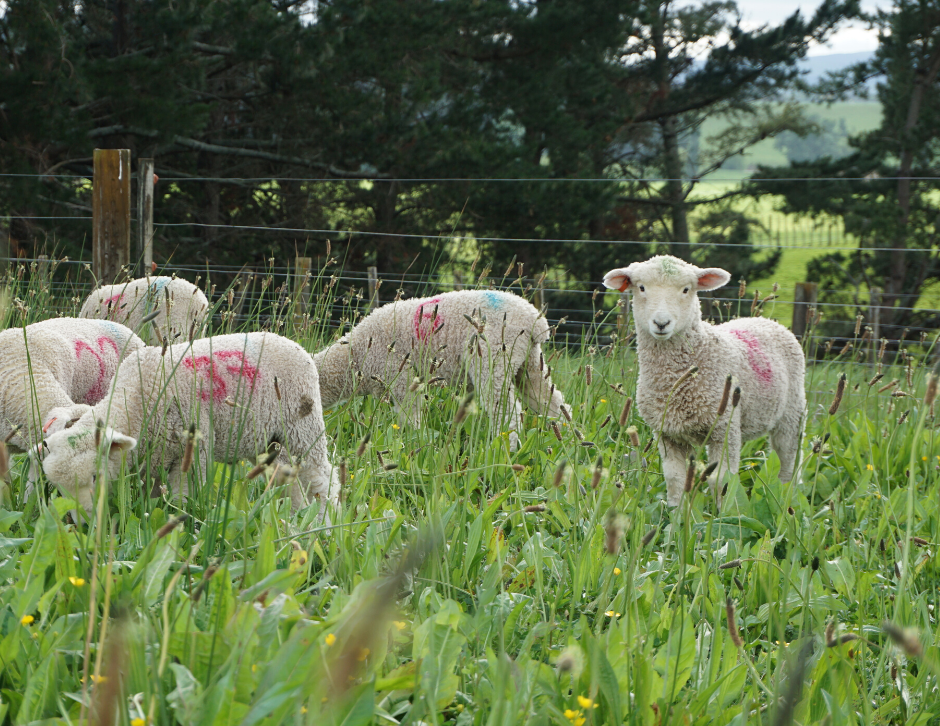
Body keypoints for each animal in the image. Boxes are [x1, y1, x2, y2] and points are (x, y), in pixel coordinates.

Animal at [36, 332, 339, 519]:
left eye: (95, 477)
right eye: (59, 488)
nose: (83, 523)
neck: (135, 400)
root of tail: (293, 344)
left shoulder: (192, 453)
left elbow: (181, 498)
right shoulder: (154, 459)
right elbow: (154, 498)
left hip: (301, 428)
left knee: (321, 479)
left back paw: (324, 521)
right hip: (267, 439)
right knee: (287, 478)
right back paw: (296, 517)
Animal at [313, 290, 567, 450]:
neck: (354, 357)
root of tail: (535, 321)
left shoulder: (399, 376)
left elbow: (410, 414)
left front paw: (415, 441)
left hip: (494, 359)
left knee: (507, 413)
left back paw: (507, 448)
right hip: (529, 363)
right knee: (552, 402)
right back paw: (566, 437)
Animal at [603, 255, 806, 507]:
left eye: (686, 289)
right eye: (641, 288)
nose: (661, 323)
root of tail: (766, 320)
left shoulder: (724, 427)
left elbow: (721, 480)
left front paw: (724, 513)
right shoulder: (667, 433)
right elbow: (675, 479)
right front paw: (676, 513)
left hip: (791, 414)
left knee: (790, 461)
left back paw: (789, 499)